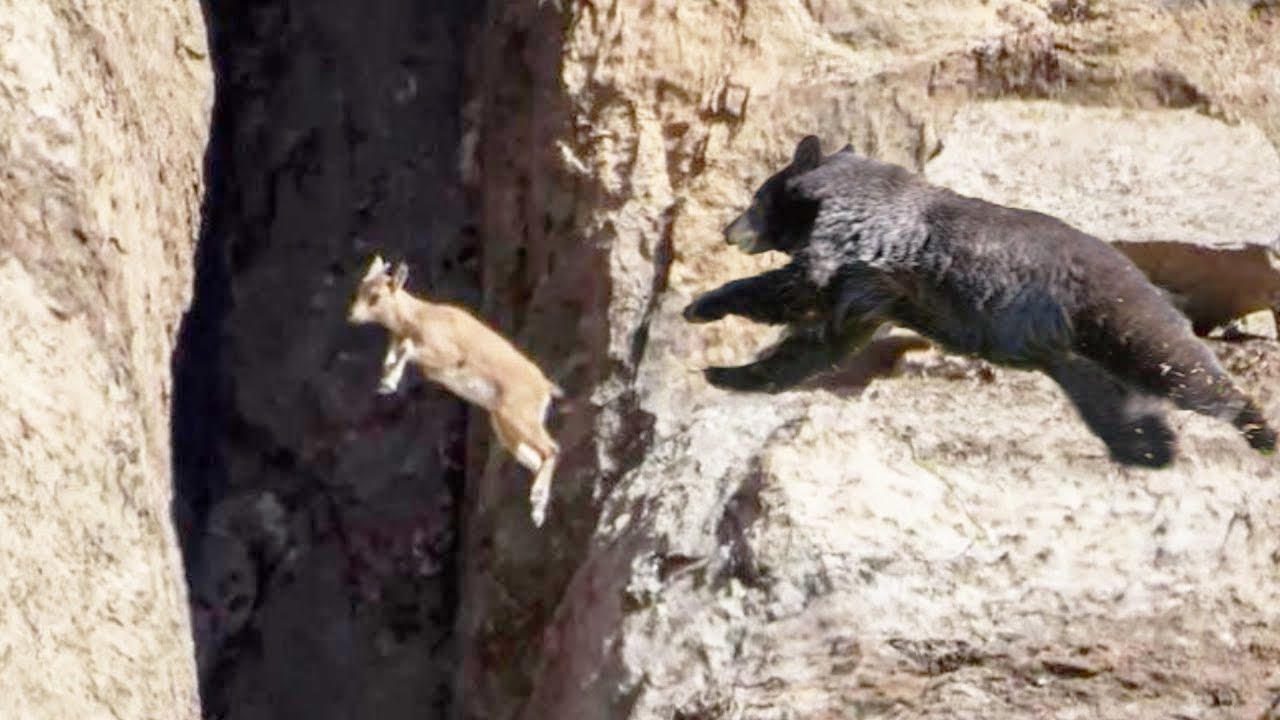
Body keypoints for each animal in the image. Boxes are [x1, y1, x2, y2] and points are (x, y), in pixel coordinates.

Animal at [347, 255, 563, 526]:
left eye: (375, 296)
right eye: (359, 289)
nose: (352, 316)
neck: (418, 318)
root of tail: (545, 387)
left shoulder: (447, 353)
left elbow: (407, 349)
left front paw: (389, 383)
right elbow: (394, 355)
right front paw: (386, 381)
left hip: (518, 415)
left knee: (552, 449)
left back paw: (537, 504)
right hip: (504, 425)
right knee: (537, 458)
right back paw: (537, 507)